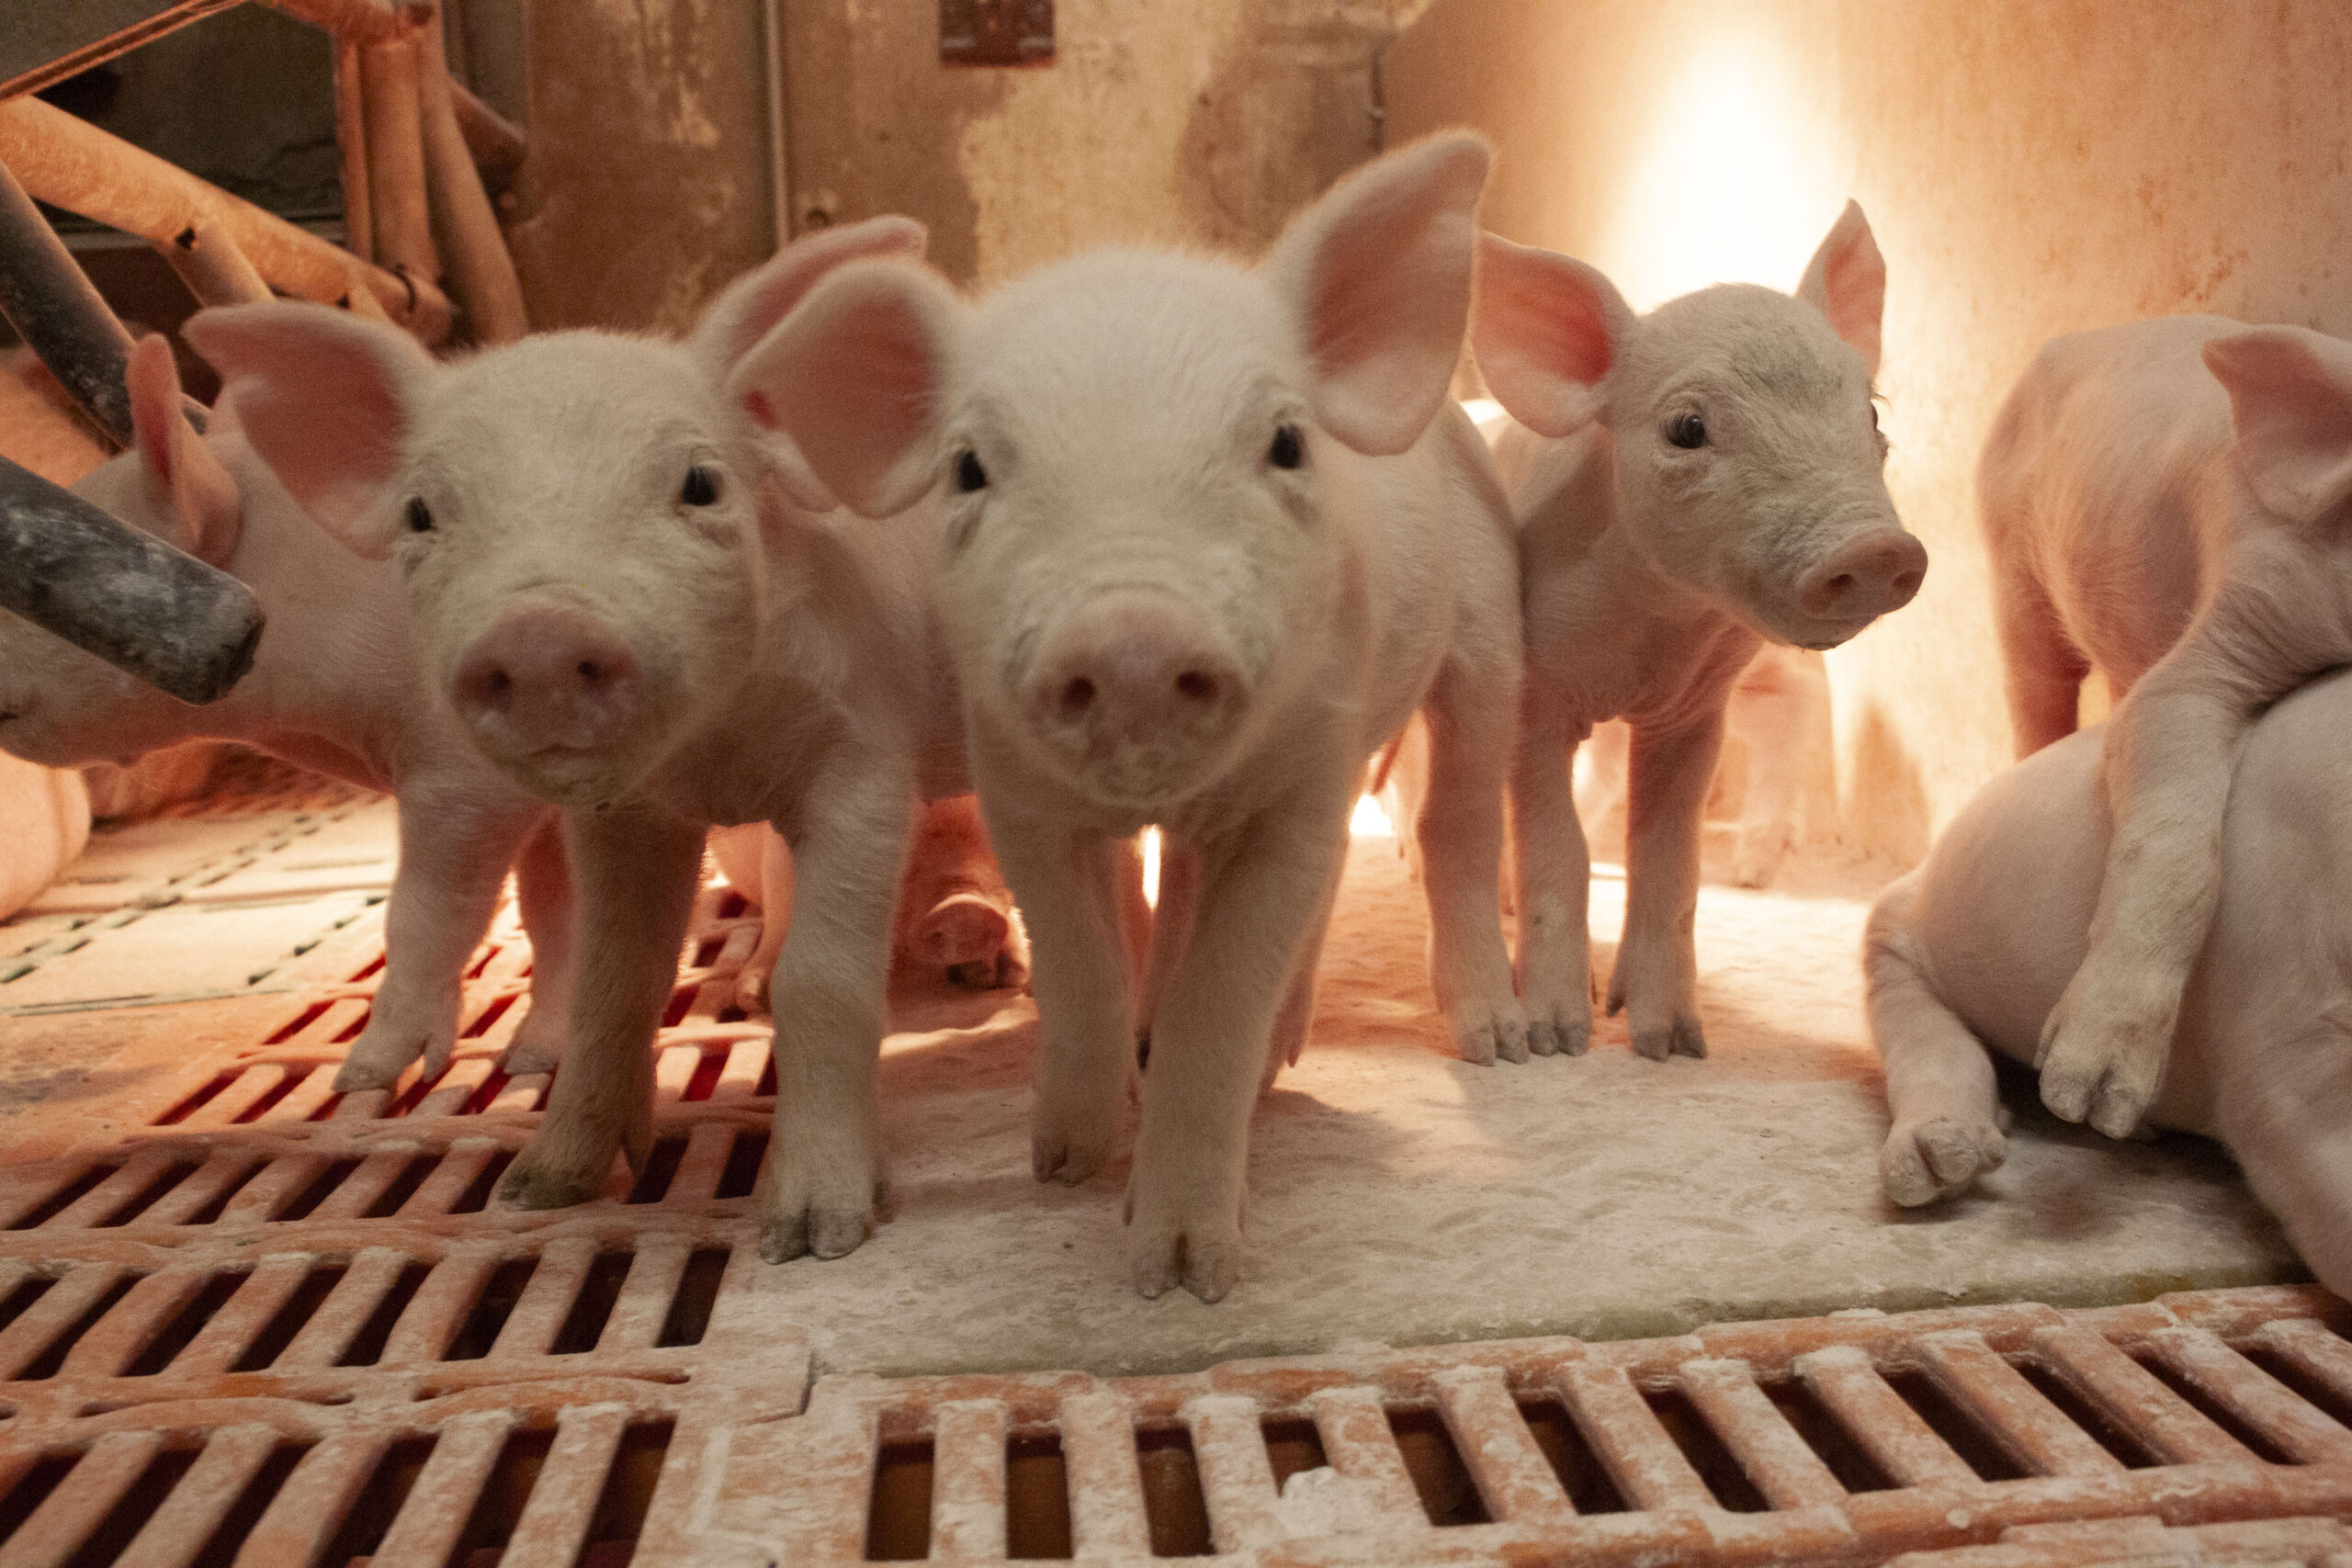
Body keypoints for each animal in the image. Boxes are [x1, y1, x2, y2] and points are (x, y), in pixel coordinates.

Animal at [187, 216, 981, 1265]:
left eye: (700, 484)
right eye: (421, 512)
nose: (537, 634)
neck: (715, 757)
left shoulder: (865, 760)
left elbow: (824, 979)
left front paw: (812, 1237)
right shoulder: (627, 814)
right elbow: (618, 981)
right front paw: (536, 1191)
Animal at [744, 133, 1528, 1301]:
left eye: (1286, 443)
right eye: (969, 468)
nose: (1131, 640)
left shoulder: (1303, 786)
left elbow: (1227, 992)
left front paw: (1181, 1275)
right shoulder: (1014, 786)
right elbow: (1077, 959)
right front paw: (1061, 1162)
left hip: (1480, 636)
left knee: (1441, 822)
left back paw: (1444, 1047)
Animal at [1472, 204, 1925, 1062]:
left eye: (1873, 413)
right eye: (1686, 427)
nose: (1878, 549)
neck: (1657, 627)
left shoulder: (1691, 713)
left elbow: (1670, 860)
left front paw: (1671, 1046)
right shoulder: (1535, 696)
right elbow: (1556, 843)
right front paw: (1557, 1041)